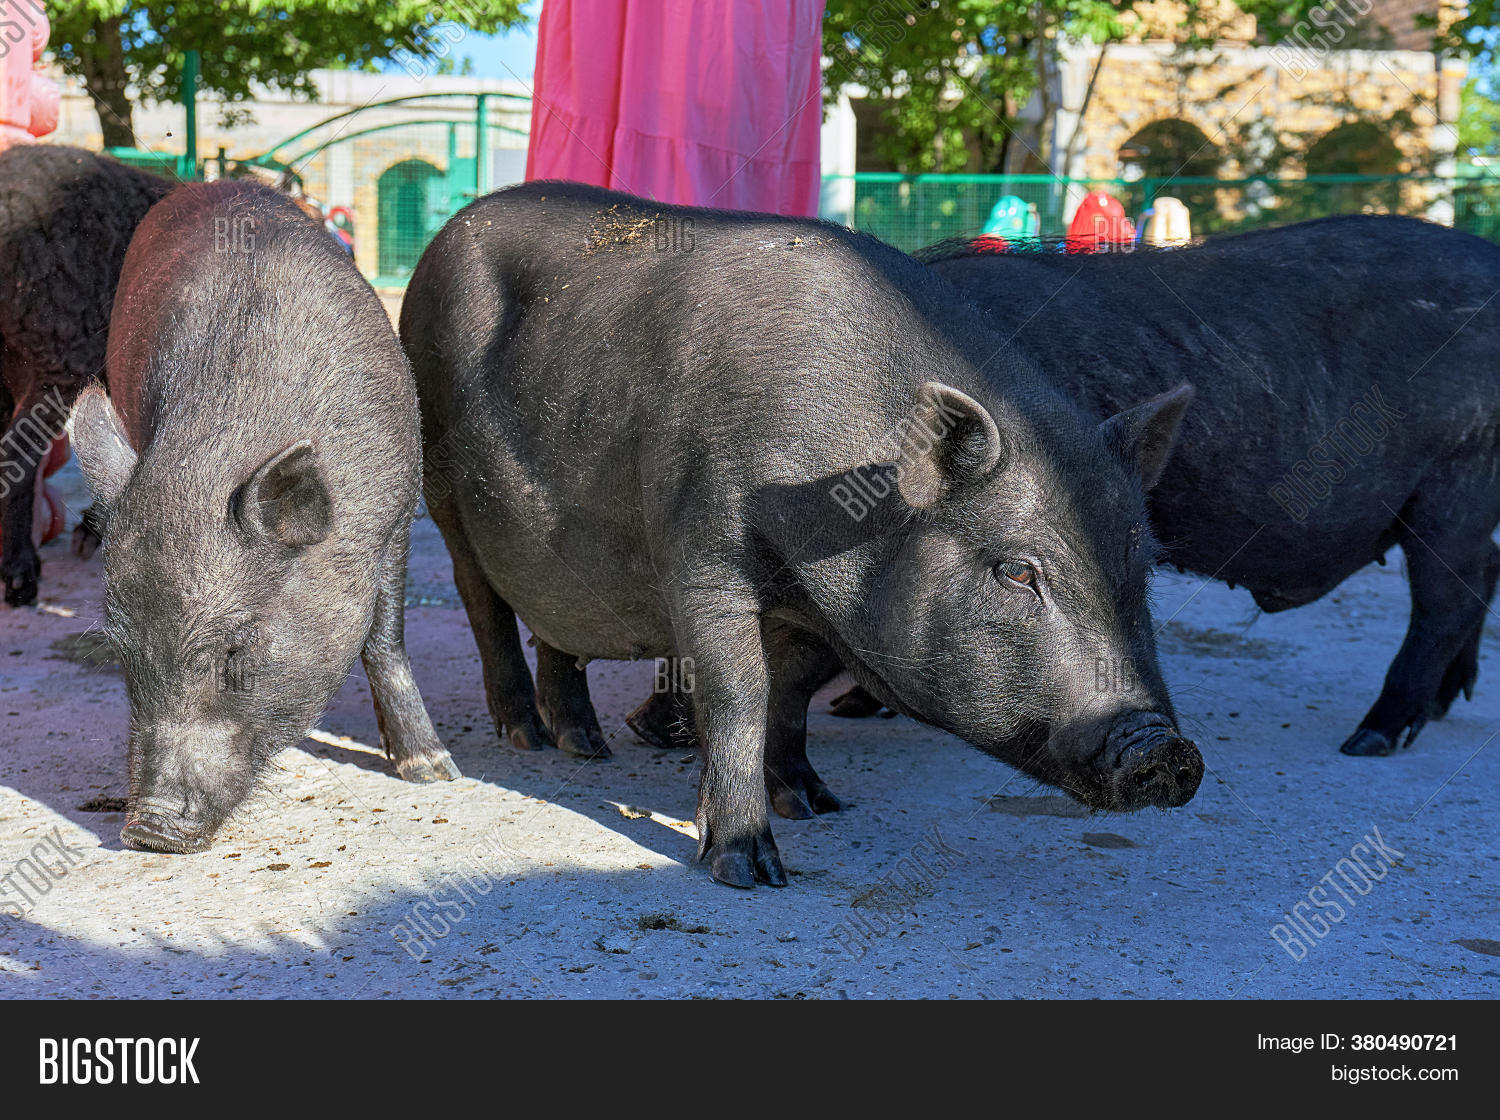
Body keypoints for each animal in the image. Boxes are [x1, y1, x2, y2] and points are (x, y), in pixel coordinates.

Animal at [68, 181, 458, 854]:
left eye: (236, 648)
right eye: (123, 653)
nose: (146, 828)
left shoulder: (398, 516)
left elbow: (385, 637)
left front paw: (434, 775)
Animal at [401, 181, 1202, 889]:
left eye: (1144, 568)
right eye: (1017, 571)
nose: (1168, 750)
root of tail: (447, 234)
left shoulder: (821, 611)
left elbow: (792, 696)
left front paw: (819, 806)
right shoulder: (702, 552)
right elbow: (739, 694)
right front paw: (749, 869)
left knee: (555, 630)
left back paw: (585, 747)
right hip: (442, 489)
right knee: (483, 605)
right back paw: (522, 737)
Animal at [831, 214, 1500, 758]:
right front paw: (854, 706)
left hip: (1458, 483)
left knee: (1450, 598)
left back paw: (1370, 739)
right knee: (1482, 576)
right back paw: (1443, 705)